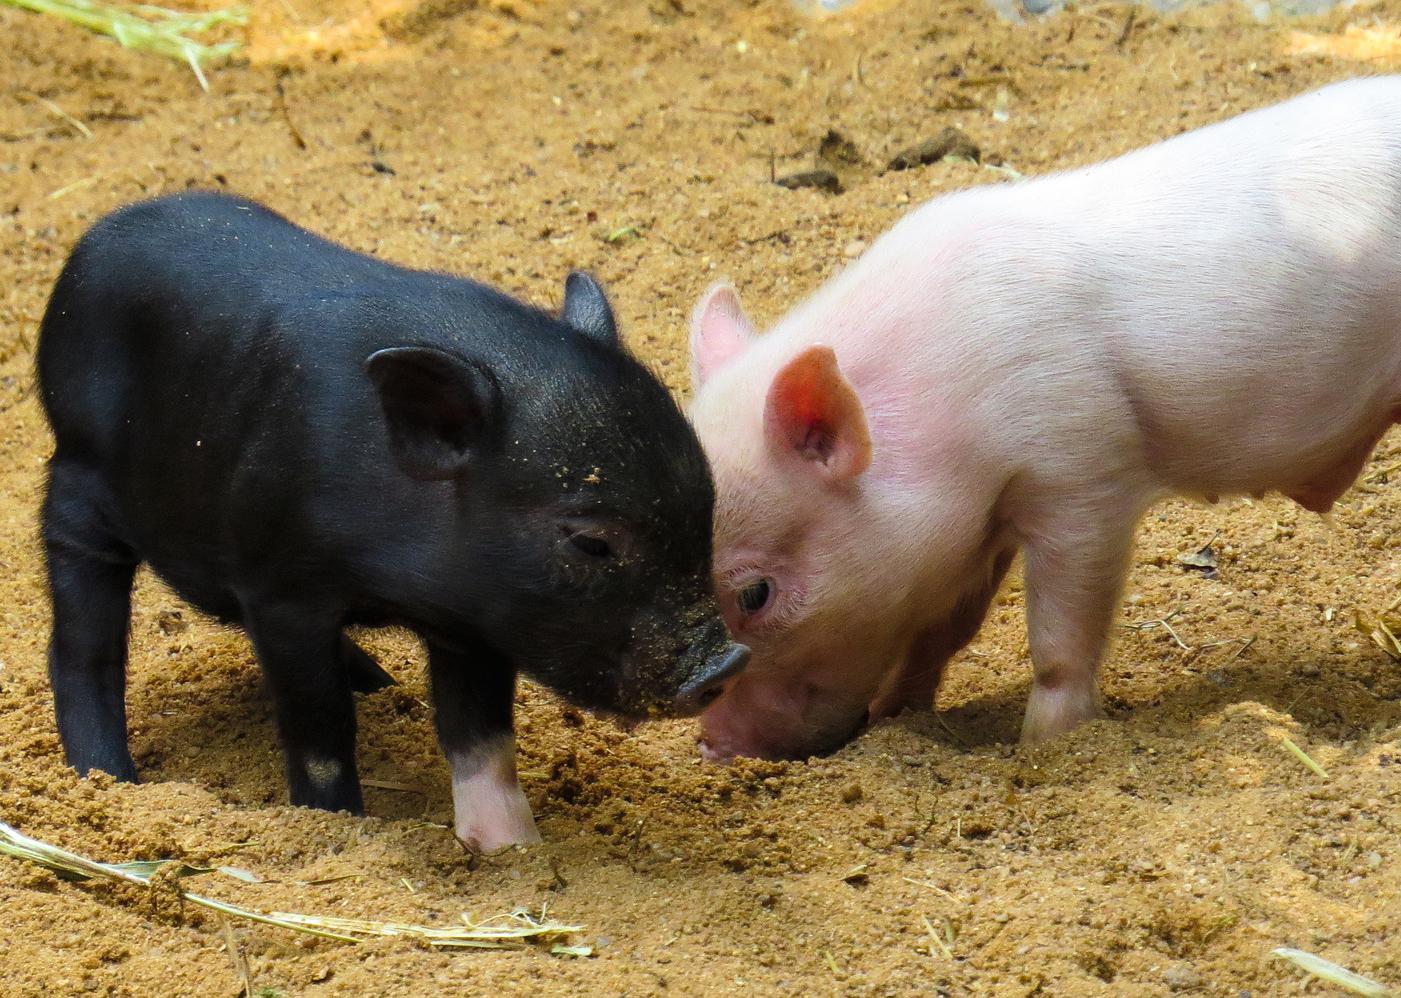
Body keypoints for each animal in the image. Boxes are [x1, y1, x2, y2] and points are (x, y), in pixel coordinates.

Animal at [38, 191, 748, 850]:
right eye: (591, 542)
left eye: (707, 505)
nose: (725, 663)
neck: (398, 588)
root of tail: (96, 240)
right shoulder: (282, 589)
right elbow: (321, 730)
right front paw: (340, 826)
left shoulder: (478, 618)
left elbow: (482, 737)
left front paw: (514, 853)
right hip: (75, 486)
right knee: (84, 647)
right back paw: (108, 778)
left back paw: (380, 682)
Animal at [687, 76, 1401, 761]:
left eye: (755, 594)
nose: (712, 744)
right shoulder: (984, 519)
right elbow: (945, 628)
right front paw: (897, 718)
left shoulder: (1083, 471)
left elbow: (1061, 633)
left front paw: (1044, 746)